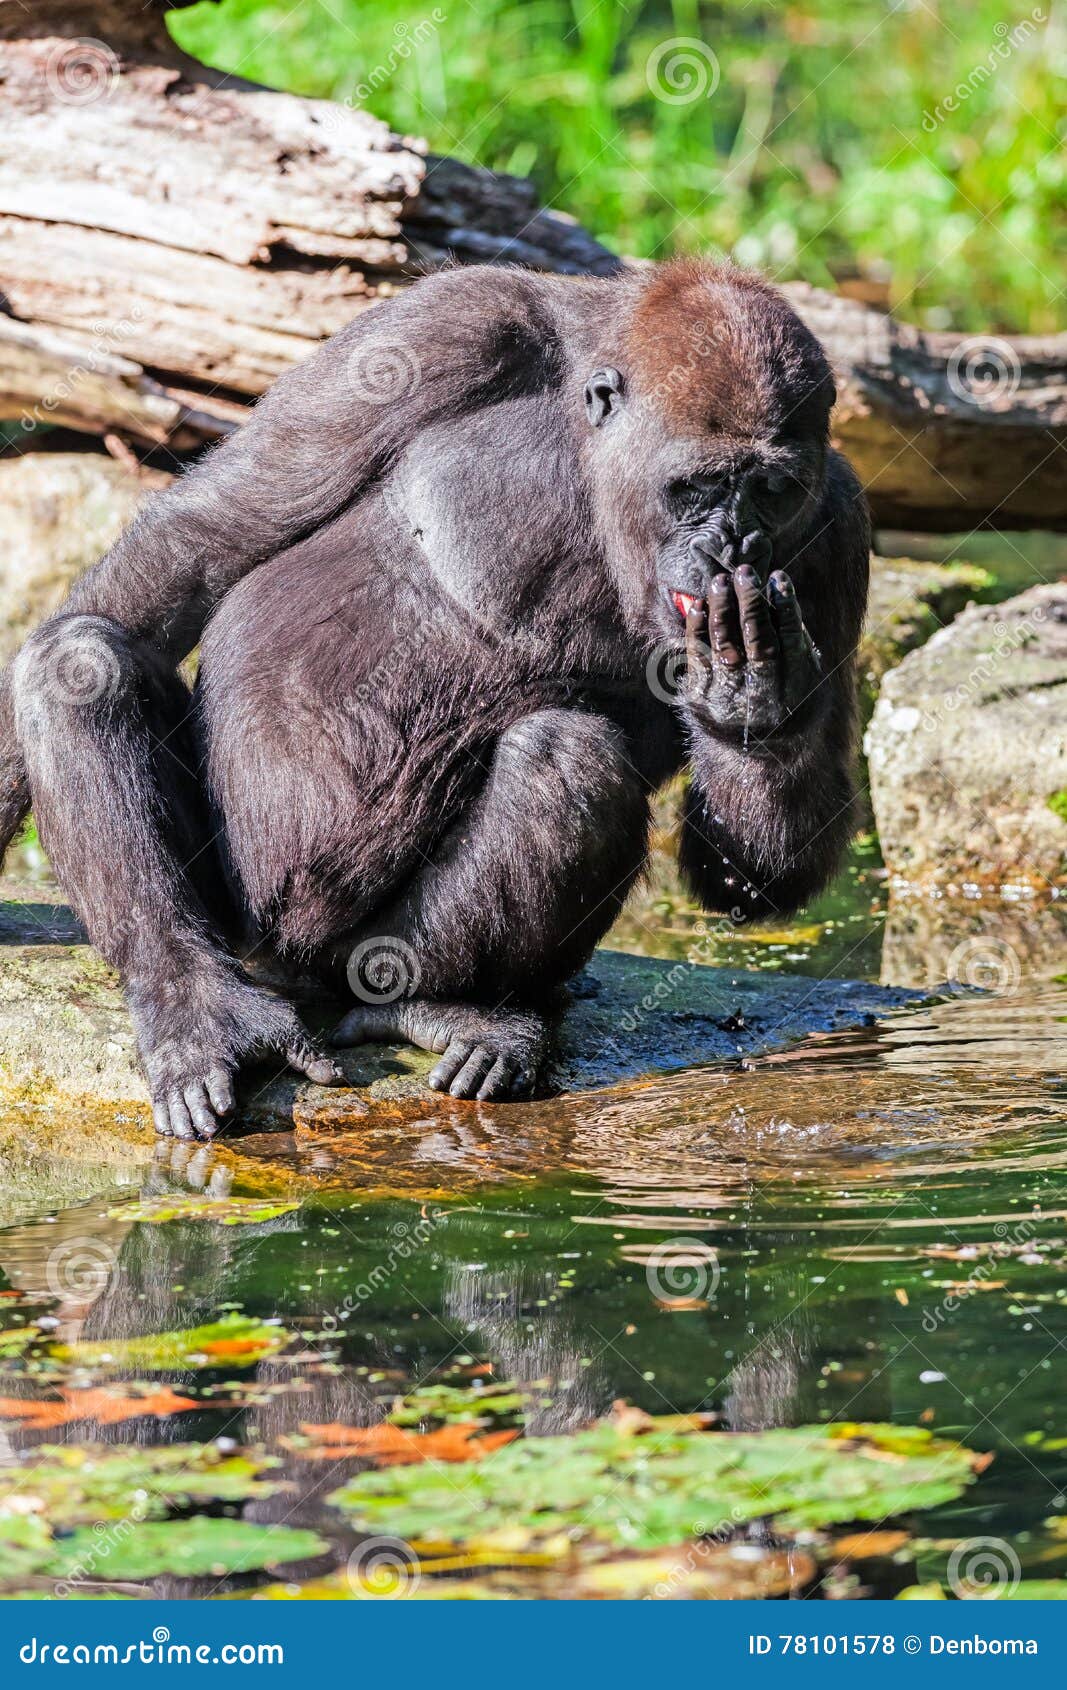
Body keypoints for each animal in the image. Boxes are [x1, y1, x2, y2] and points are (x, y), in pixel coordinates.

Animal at [1, 258, 869, 1137]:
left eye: (770, 489)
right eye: (695, 487)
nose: (730, 548)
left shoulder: (837, 521)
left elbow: (749, 872)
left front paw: (756, 699)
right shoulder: (448, 325)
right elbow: (183, 559)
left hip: (342, 960)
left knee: (561, 765)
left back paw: (434, 1005)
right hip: (245, 931)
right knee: (86, 656)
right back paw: (191, 991)